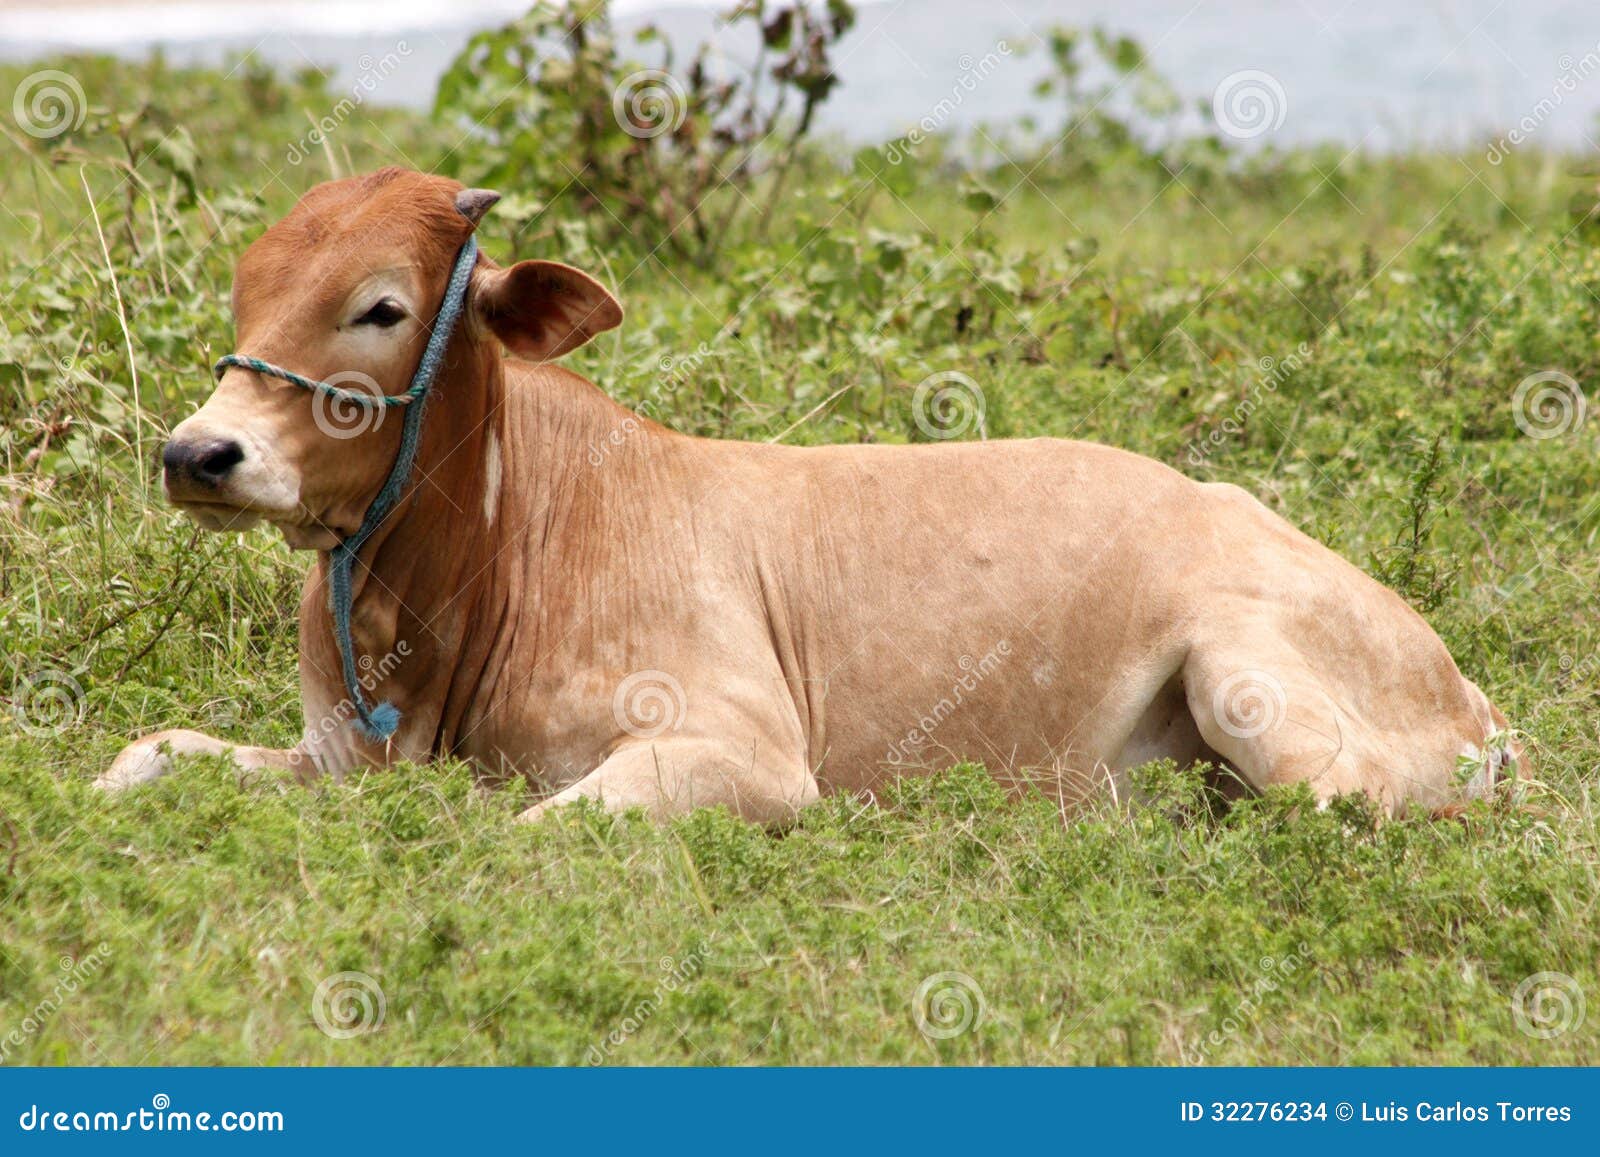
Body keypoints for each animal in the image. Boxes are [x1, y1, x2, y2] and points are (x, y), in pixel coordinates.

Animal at [98, 167, 1517, 821]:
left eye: (383, 307)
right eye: (245, 292)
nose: (199, 453)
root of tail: (1469, 691)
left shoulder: (745, 751)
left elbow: (540, 825)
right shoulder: (335, 752)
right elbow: (147, 752)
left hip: (1247, 673)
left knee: (1342, 802)